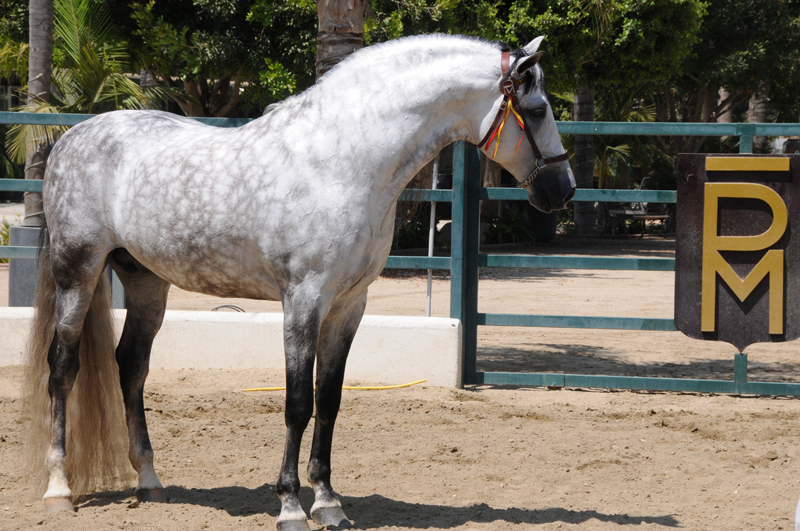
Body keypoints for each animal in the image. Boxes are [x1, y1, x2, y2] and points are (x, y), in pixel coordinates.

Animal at [23, 33, 575, 530]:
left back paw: (150, 481)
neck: (343, 162)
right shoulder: (303, 301)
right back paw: (59, 491)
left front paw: (329, 503)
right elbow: (297, 402)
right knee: (63, 367)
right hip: (78, 271)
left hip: (145, 281)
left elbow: (328, 401)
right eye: (538, 110)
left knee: (132, 366)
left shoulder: (349, 305)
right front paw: (290, 506)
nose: (563, 191)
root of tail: (71, 137)